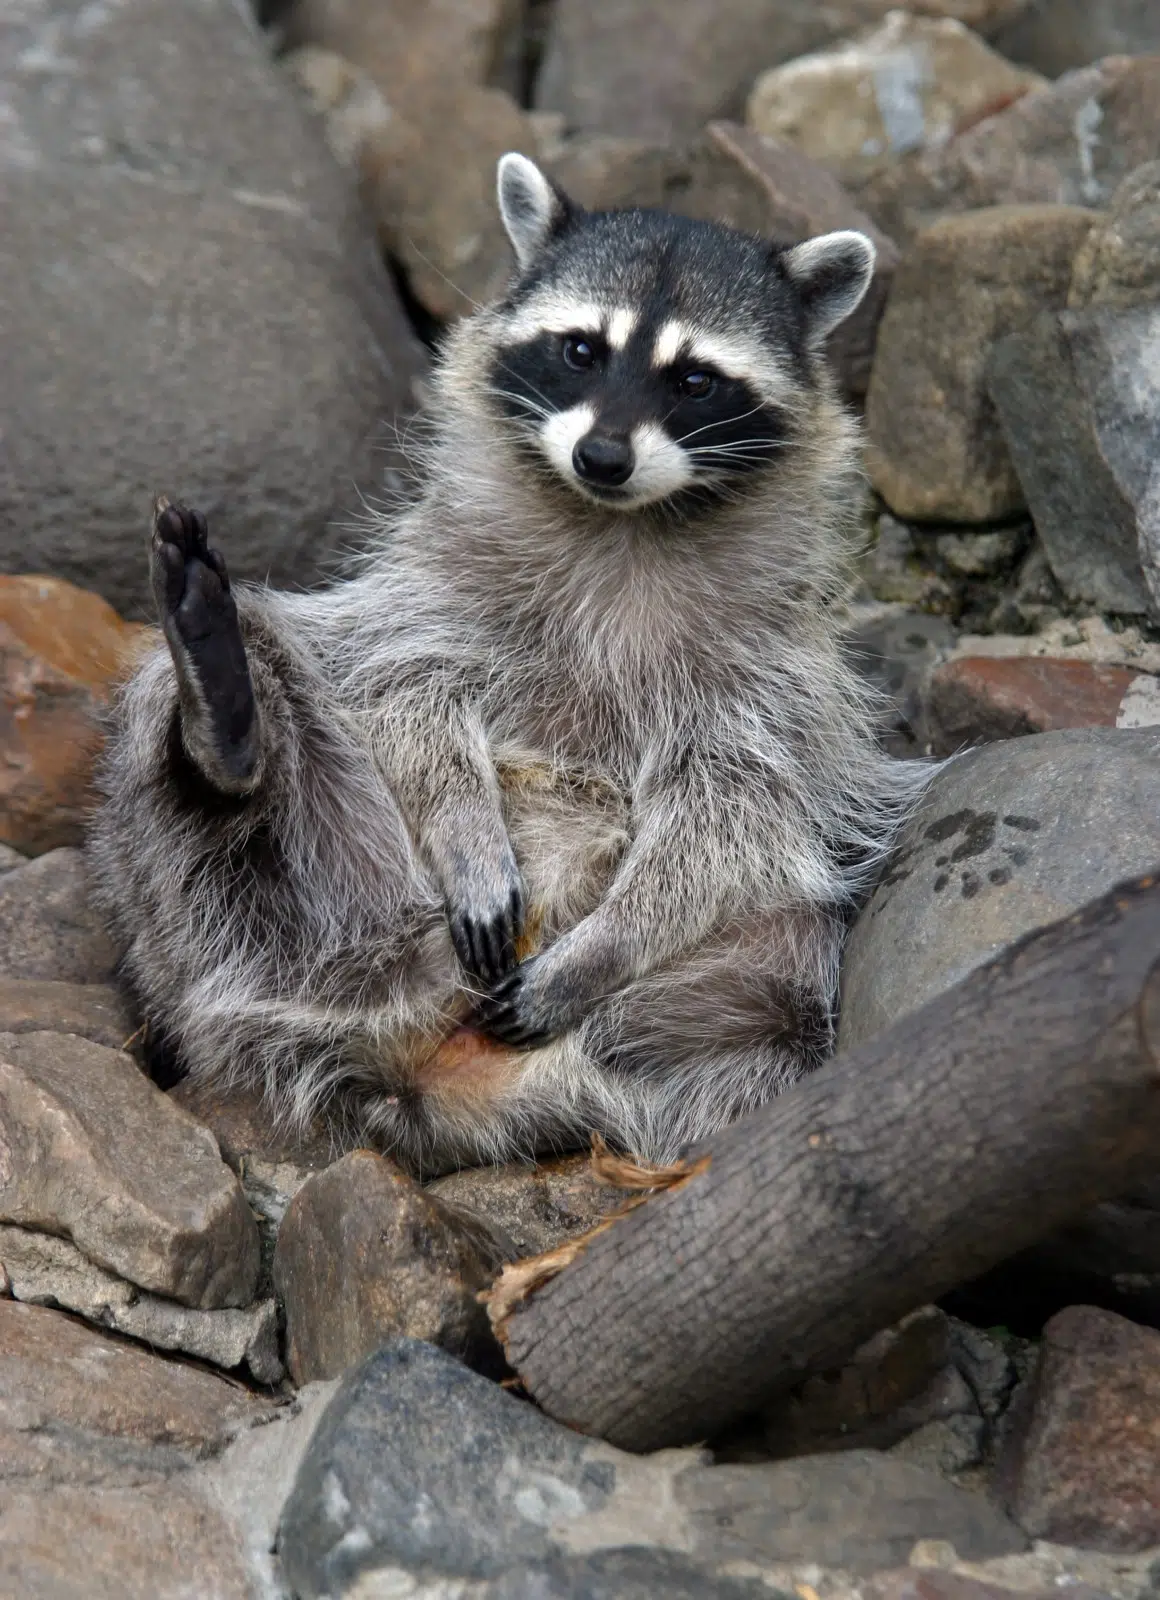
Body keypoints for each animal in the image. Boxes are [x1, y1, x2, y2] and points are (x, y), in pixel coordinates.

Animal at [88, 154, 928, 1174]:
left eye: (694, 379)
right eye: (580, 350)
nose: (602, 455)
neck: (620, 523)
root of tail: (407, 1051)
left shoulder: (776, 672)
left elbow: (734, 814)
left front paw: (613, 940)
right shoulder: (436, 583)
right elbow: (407, 692)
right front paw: (466, 827)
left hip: (739, 994)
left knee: (791, 965)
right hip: (304, 901)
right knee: (233, 720)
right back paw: (224, 724)